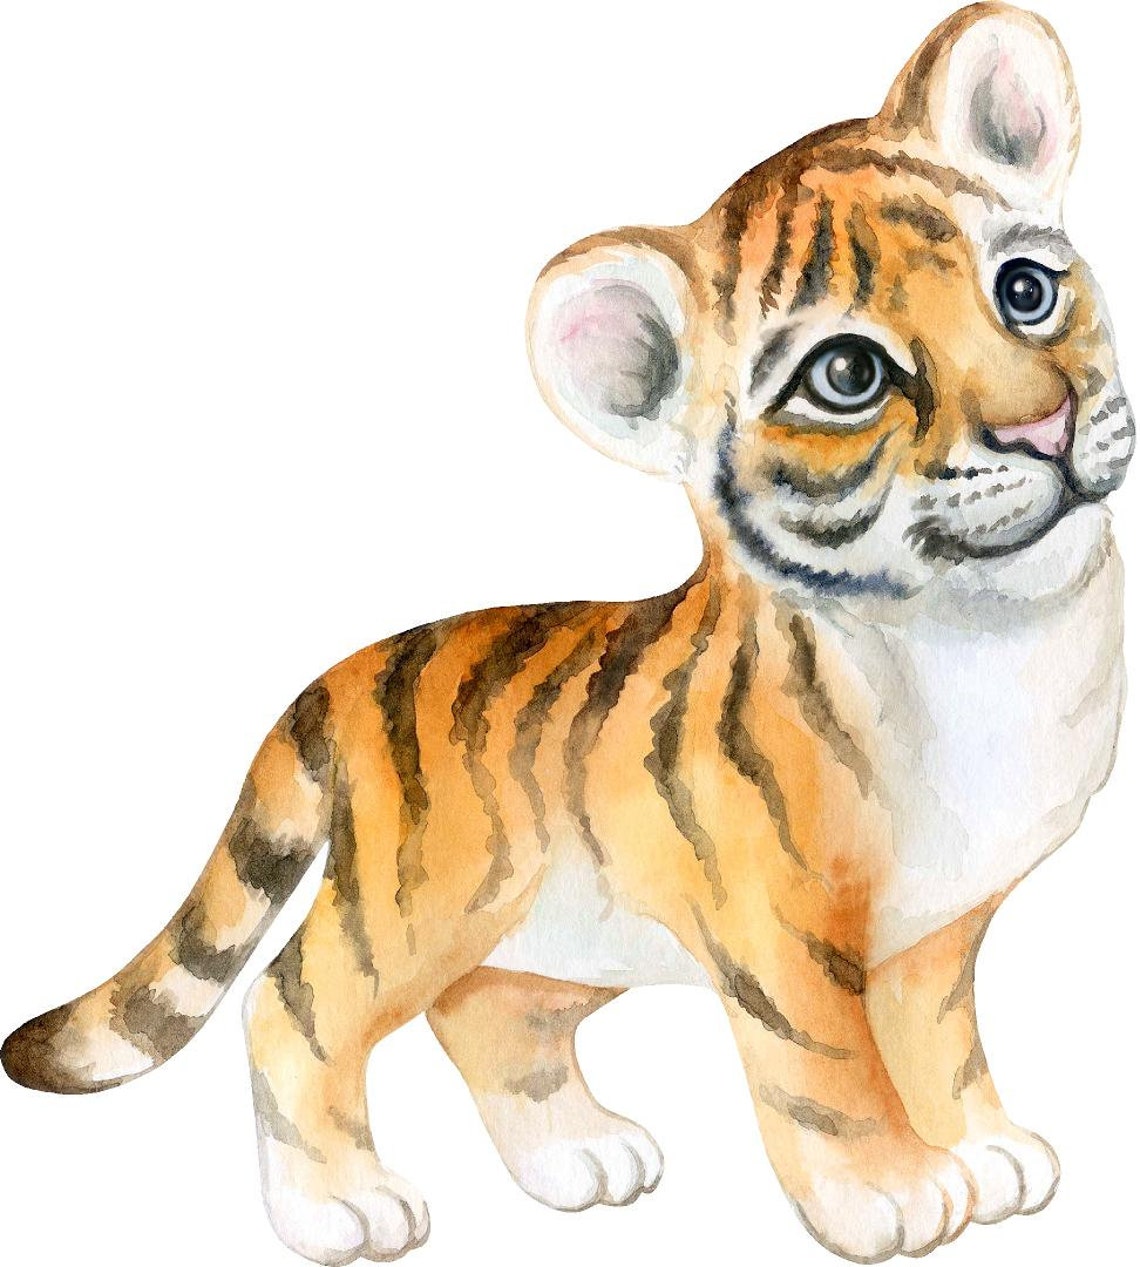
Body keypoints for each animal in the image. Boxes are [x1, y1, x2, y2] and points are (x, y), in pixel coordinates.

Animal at [3, 3, 1133, 1263]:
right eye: (848, 373)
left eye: (1024, 289)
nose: (1045, 424)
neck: (993, 635)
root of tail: (347, 668)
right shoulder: (781, 930)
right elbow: (830, 1068)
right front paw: (892, 1188)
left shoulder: (937, 932)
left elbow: (941, 1044)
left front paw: (985, 1146)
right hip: (418, 903)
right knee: (292, 1001)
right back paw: (339, 1203)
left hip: (557, 931)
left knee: (487, 1010)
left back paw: (575, 1154)